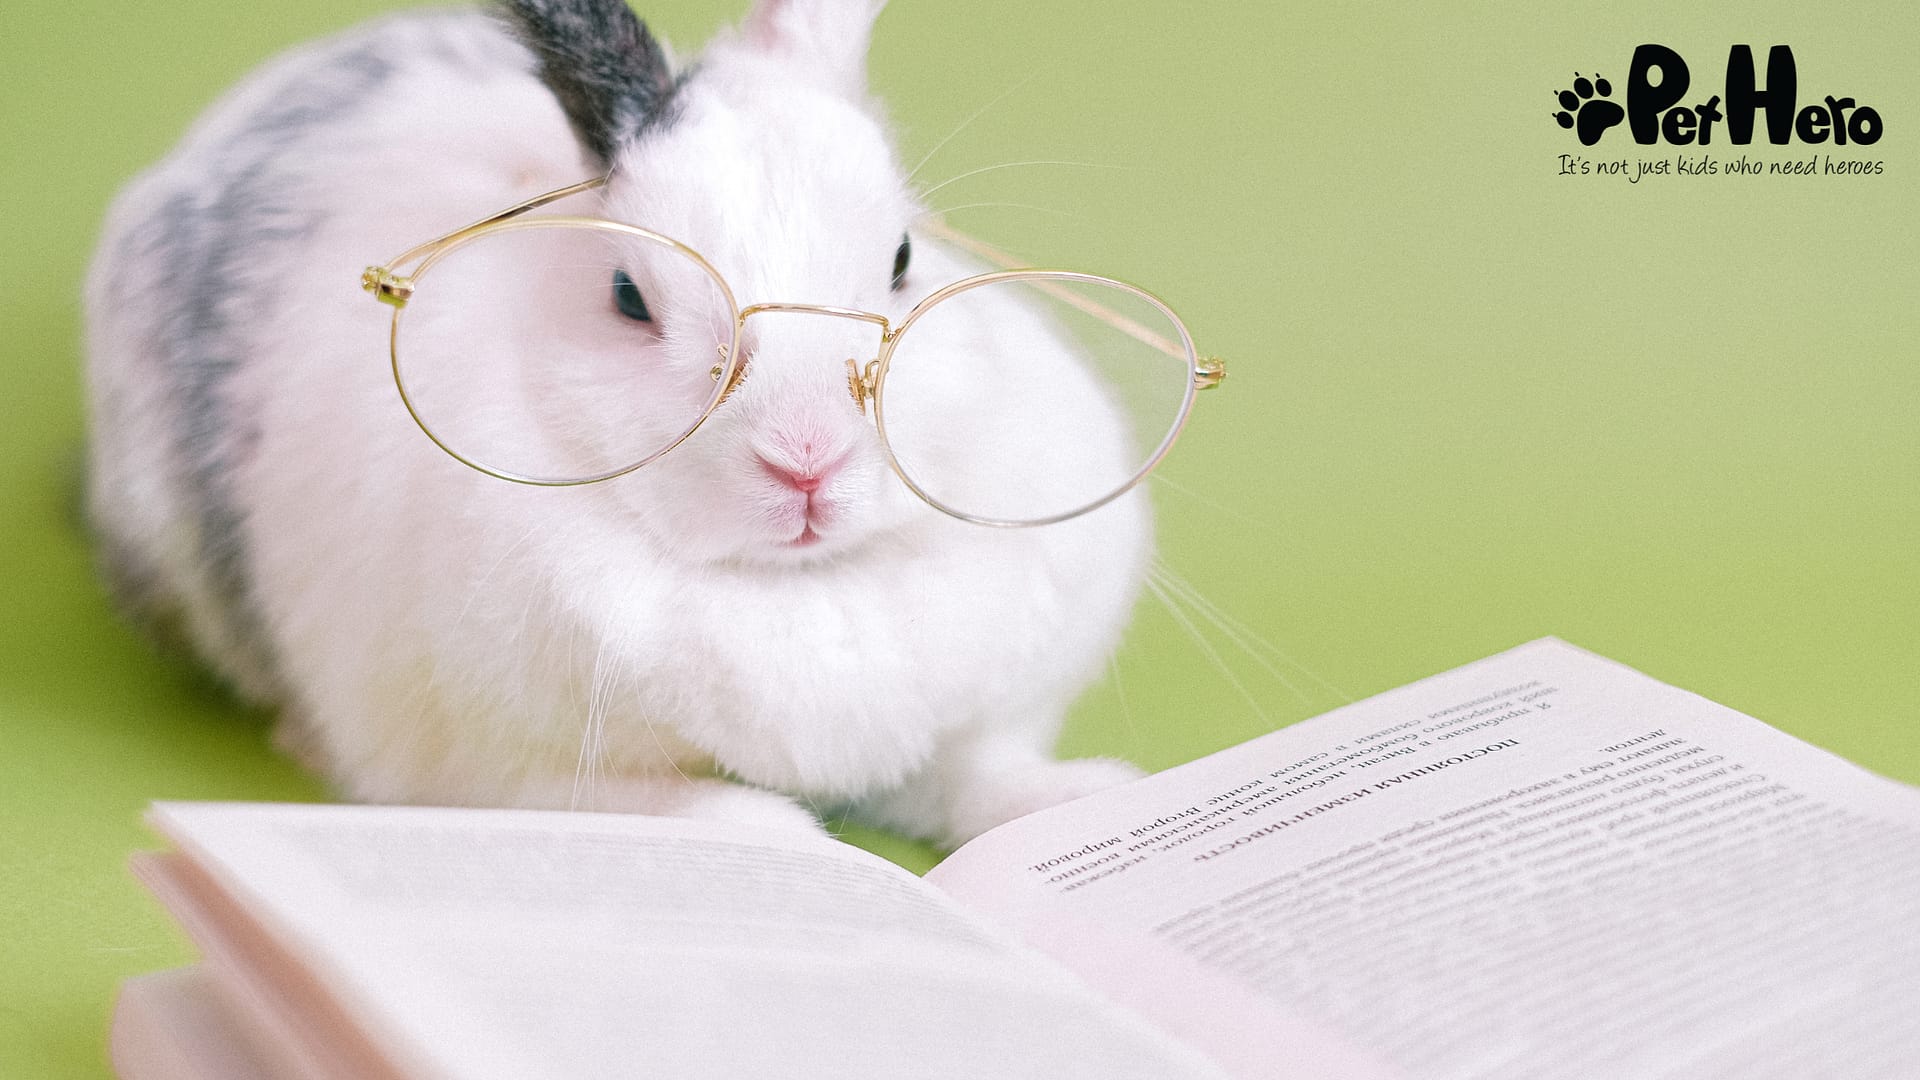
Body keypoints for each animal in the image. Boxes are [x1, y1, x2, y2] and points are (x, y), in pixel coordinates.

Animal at [84, 0, 1153, 847]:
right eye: (629, 297)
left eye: (901, 259)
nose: (807, 460)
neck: (796, 589)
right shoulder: (491, 769)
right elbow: (661, 808)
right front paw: (781, 834)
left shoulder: (967, 728)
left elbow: (978, 780)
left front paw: (1090, 798)